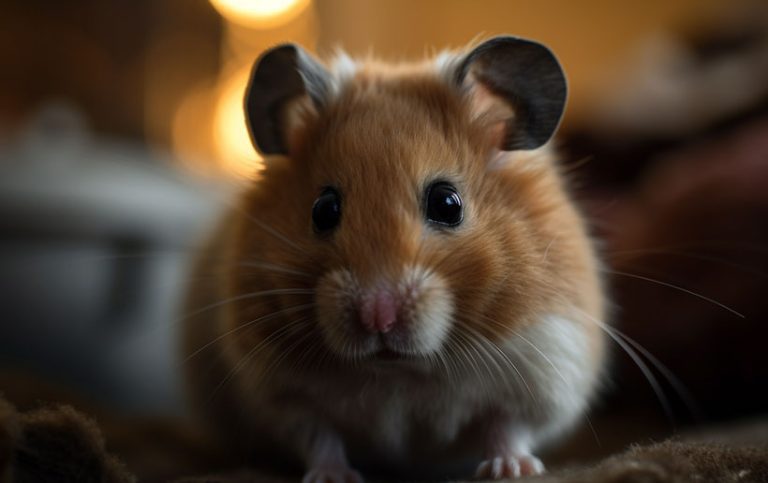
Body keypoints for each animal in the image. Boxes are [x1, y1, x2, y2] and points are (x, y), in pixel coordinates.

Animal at [182, 36, 607, 481]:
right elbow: (319, 436)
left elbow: (507, 426)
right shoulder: (280, 395)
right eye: (323, 210)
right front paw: (332, 477)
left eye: (447, 203)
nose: (377, 316)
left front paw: (512, 470)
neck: (401, 372)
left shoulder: (544, 369)